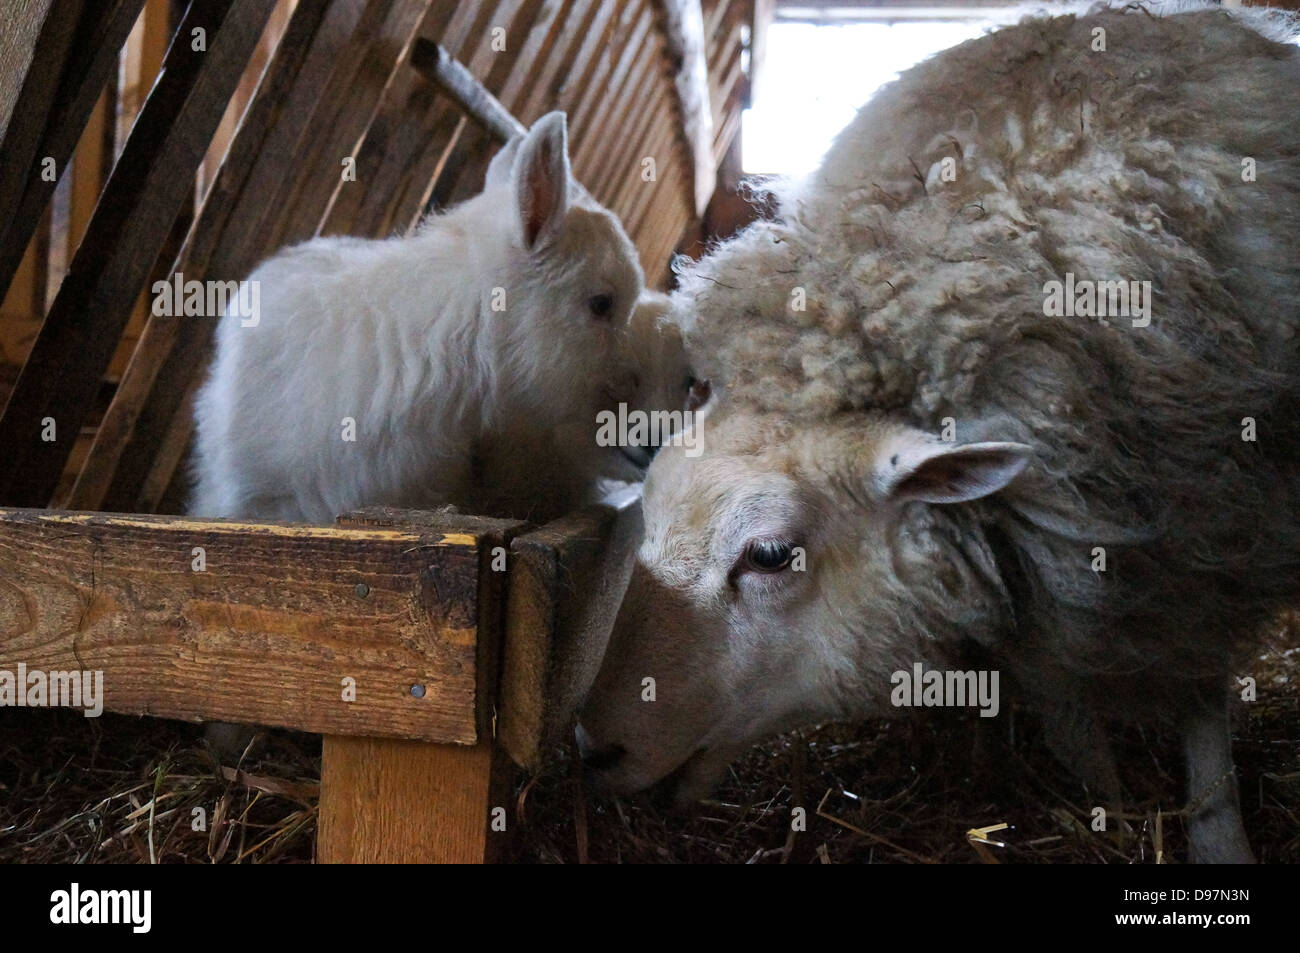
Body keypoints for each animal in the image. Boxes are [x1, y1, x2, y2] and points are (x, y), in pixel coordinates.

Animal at [576, 4, 1300, 863]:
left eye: (771, 554)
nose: (593, 746)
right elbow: (1068, 710)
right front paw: (1104, 796)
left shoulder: (1208, 549)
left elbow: (1199, 708)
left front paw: (1216, 835)